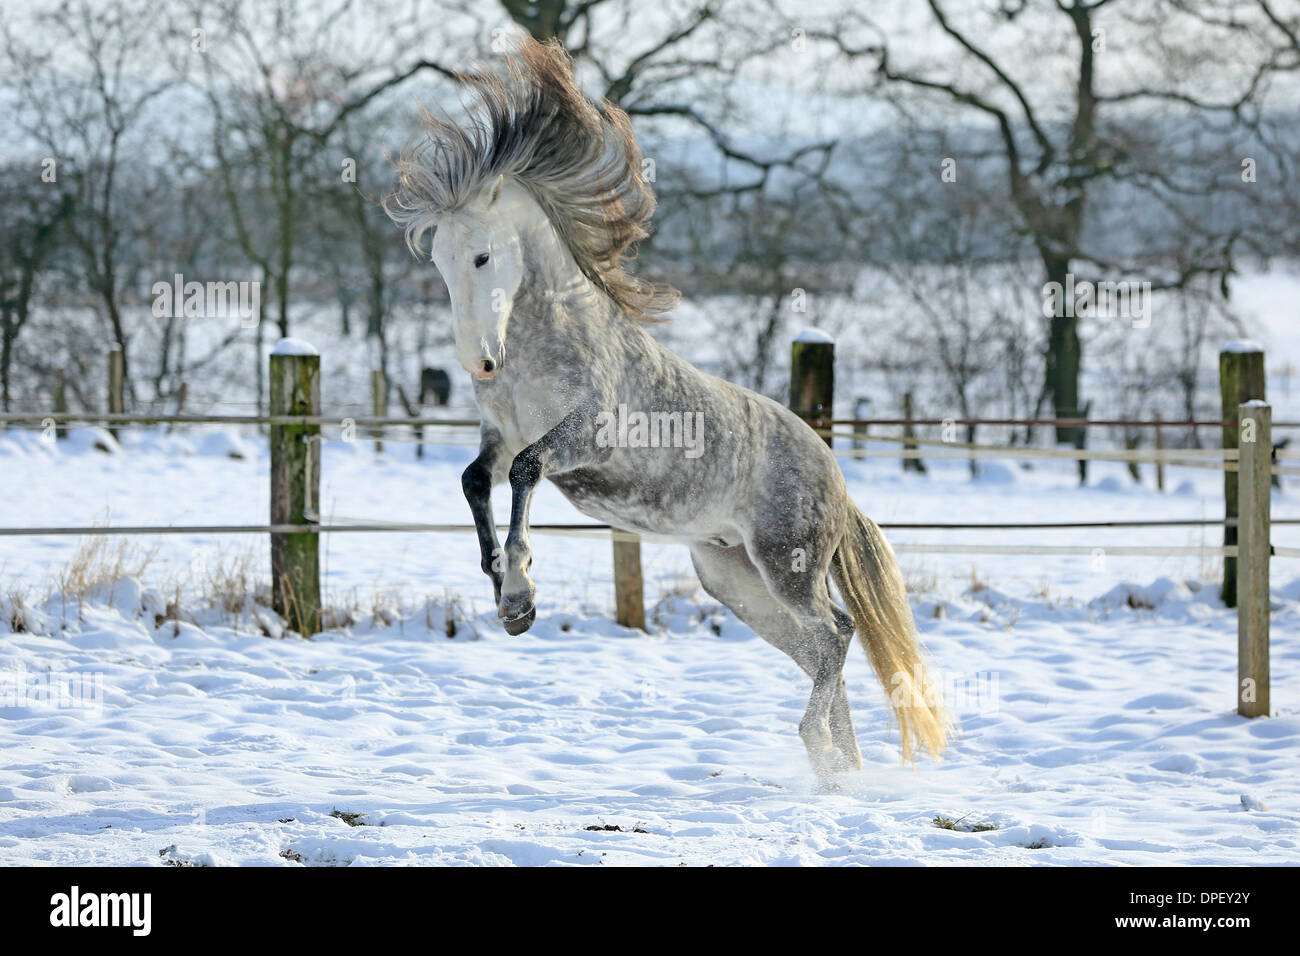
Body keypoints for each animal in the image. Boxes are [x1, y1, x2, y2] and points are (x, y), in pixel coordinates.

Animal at [385, 38, 951, 779]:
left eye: (482, 256)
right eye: (441, 265)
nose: (480, 363)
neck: (545, 342)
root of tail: (835, 474)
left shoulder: (587, 435)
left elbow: (527, 471)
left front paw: (521, 596)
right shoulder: (498, 432)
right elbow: (476, 479)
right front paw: (505, 589)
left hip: (786, 566)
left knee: (835, 634)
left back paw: (824, 755)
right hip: (734, 580)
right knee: (824, 646)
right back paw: (842, 772)